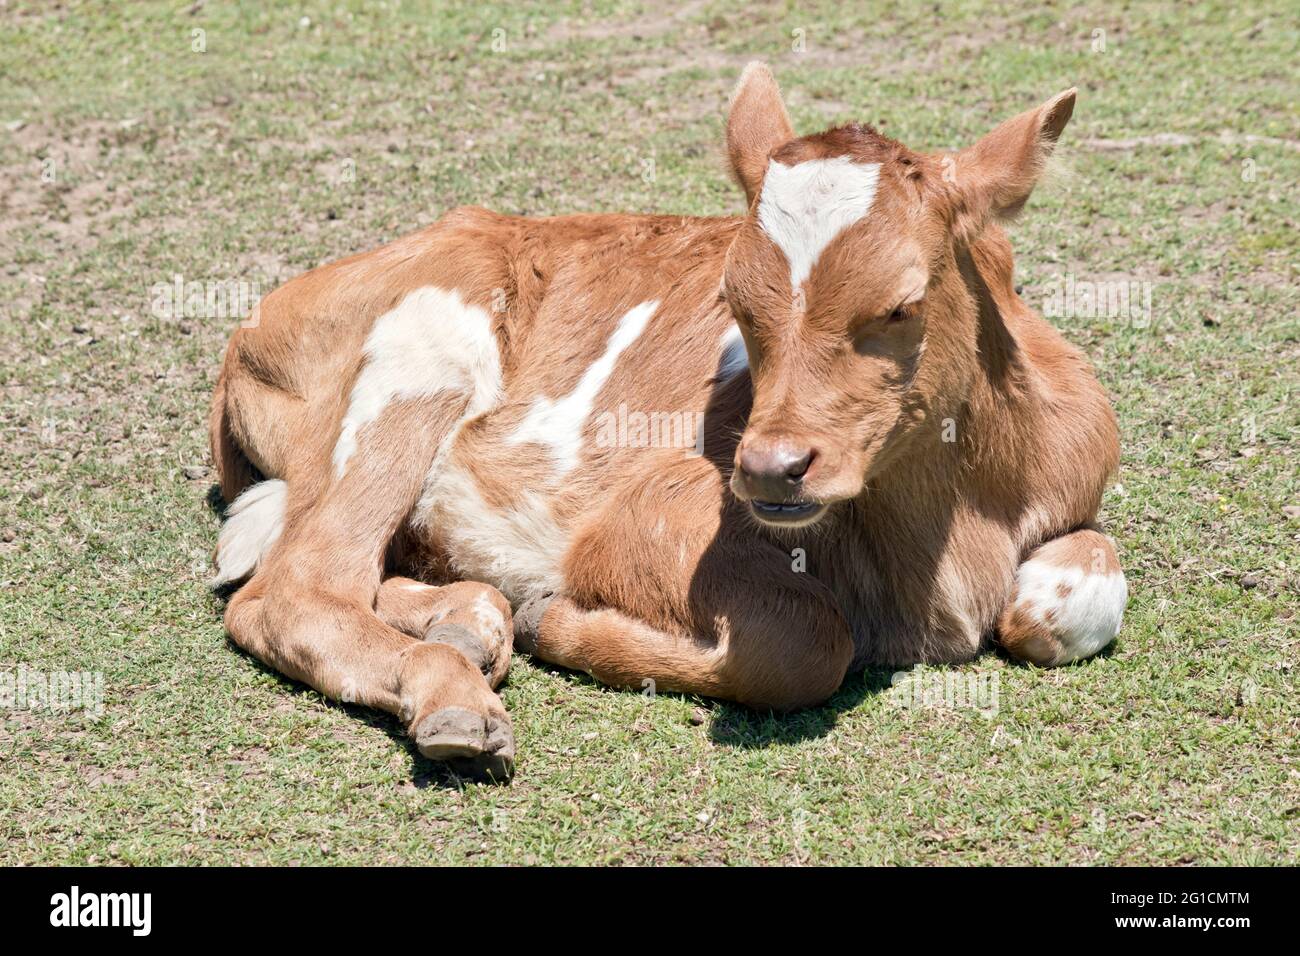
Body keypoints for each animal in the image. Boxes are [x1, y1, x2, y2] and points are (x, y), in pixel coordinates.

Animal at [209, 63, 1125, 780]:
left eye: (901, 304)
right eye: (735, 300)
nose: (770, 467)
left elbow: (1080, 600)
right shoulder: (646, 518)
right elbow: (806, 643)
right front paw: (557, 621)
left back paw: (467, 622)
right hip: (418, 353)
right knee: (292, 590)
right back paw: (456, 695)